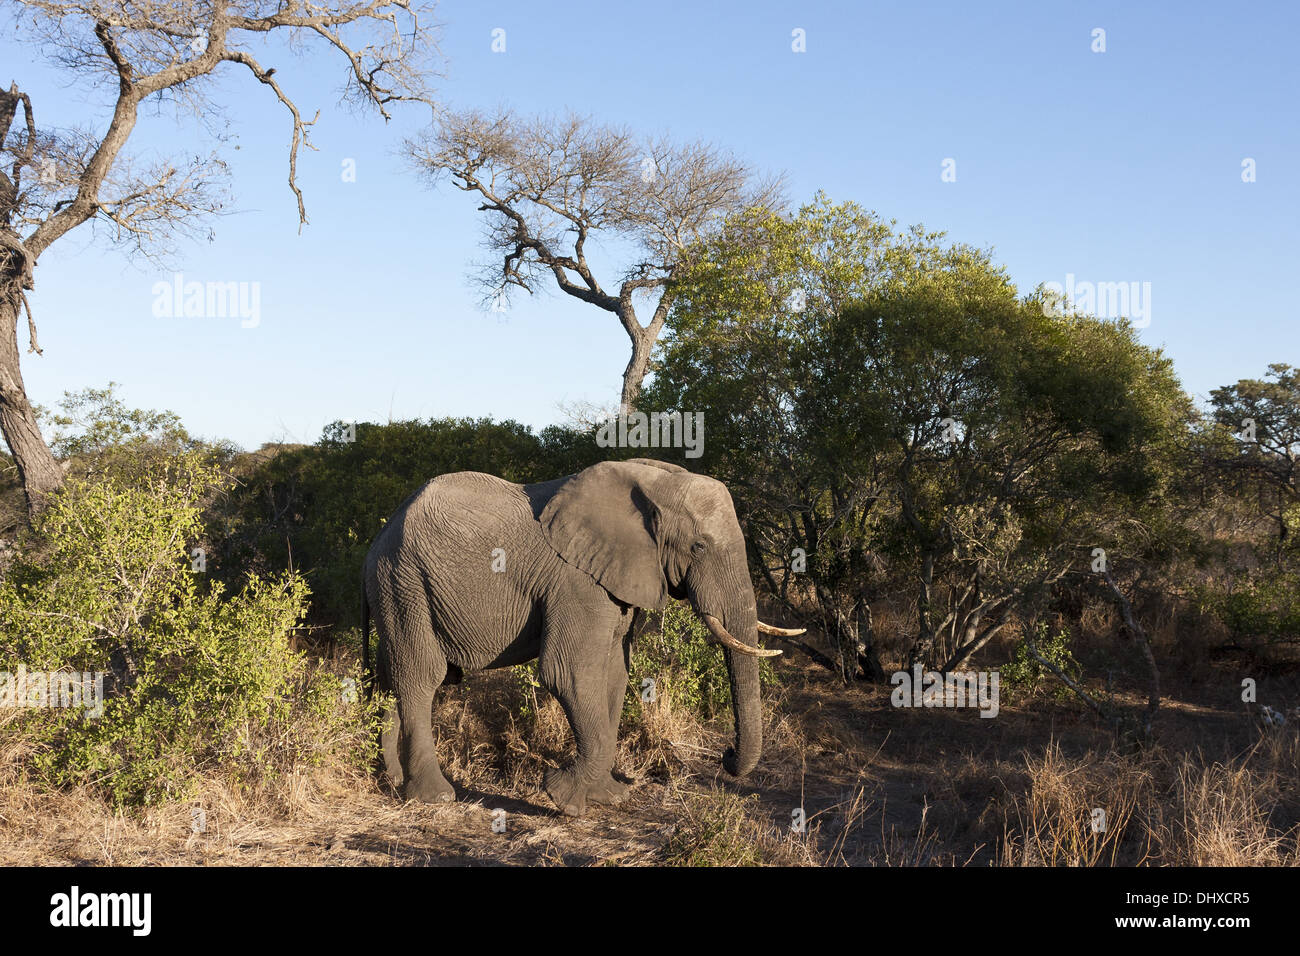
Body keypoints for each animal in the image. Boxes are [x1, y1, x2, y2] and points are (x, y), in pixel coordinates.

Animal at [360, 458, 803, 816]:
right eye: (698, 546)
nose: (725, 755)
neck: (651, 483)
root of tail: (376, 542)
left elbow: (613, 675)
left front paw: (610, 797)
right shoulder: (575, 581)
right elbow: (570, 673)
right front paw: (564, 800)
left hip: (398, 586)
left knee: (390, 676)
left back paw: (393, 780)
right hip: (404, 580)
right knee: (421, 676)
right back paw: (433, 797)